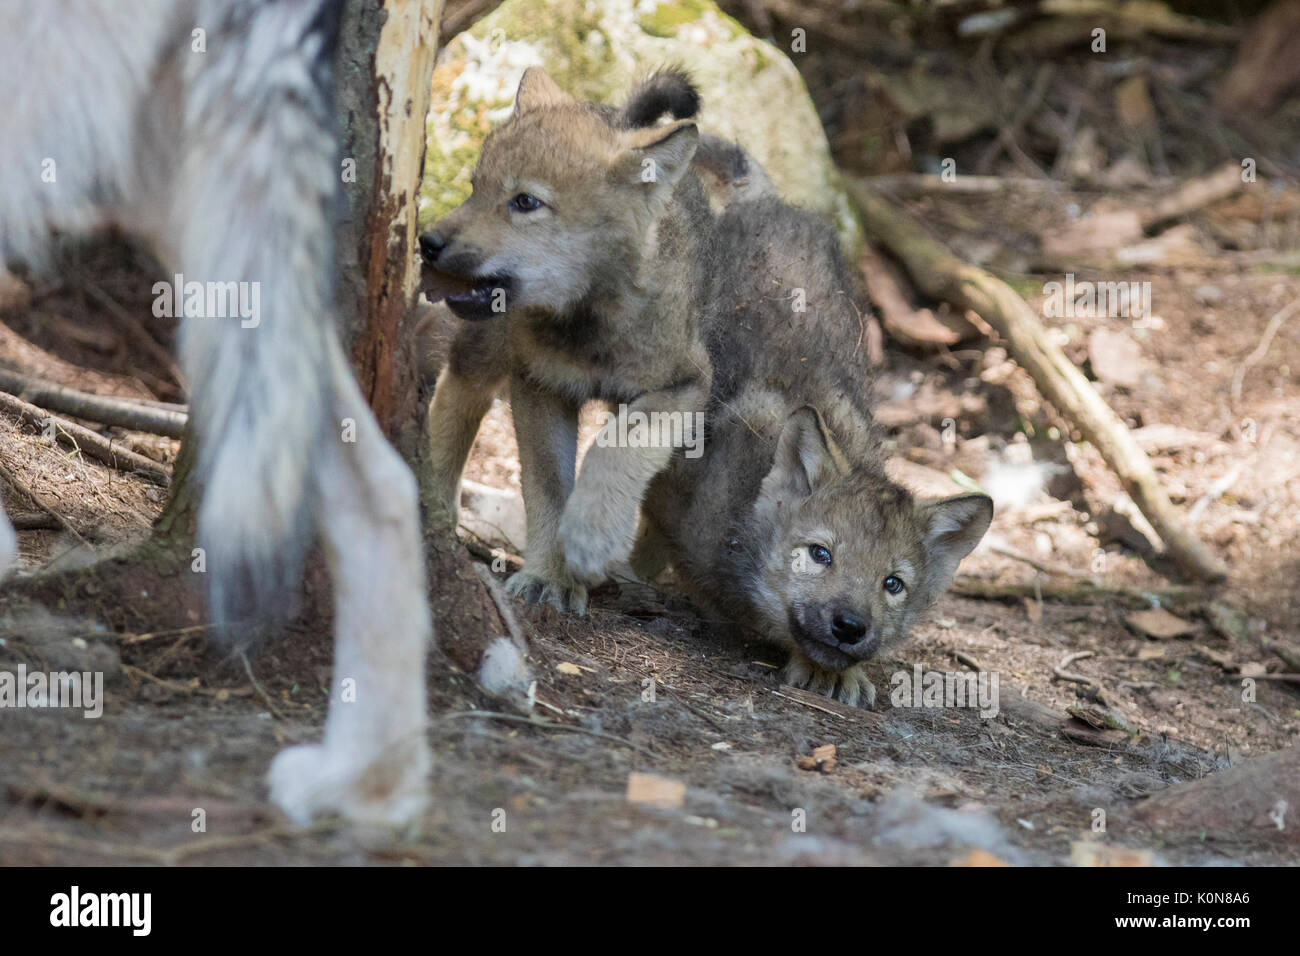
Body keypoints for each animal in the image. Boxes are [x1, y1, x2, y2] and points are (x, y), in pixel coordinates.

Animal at [420, 68, 715, 615]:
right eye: (474, 187)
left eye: (525, 202)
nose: (426, 243)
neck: (587, 326)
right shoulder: (539, 385)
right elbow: (549, 487)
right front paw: (549, 577)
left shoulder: (684, 385)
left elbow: (618, 444)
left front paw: (592, 536)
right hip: (487, 346)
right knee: (457, 396)